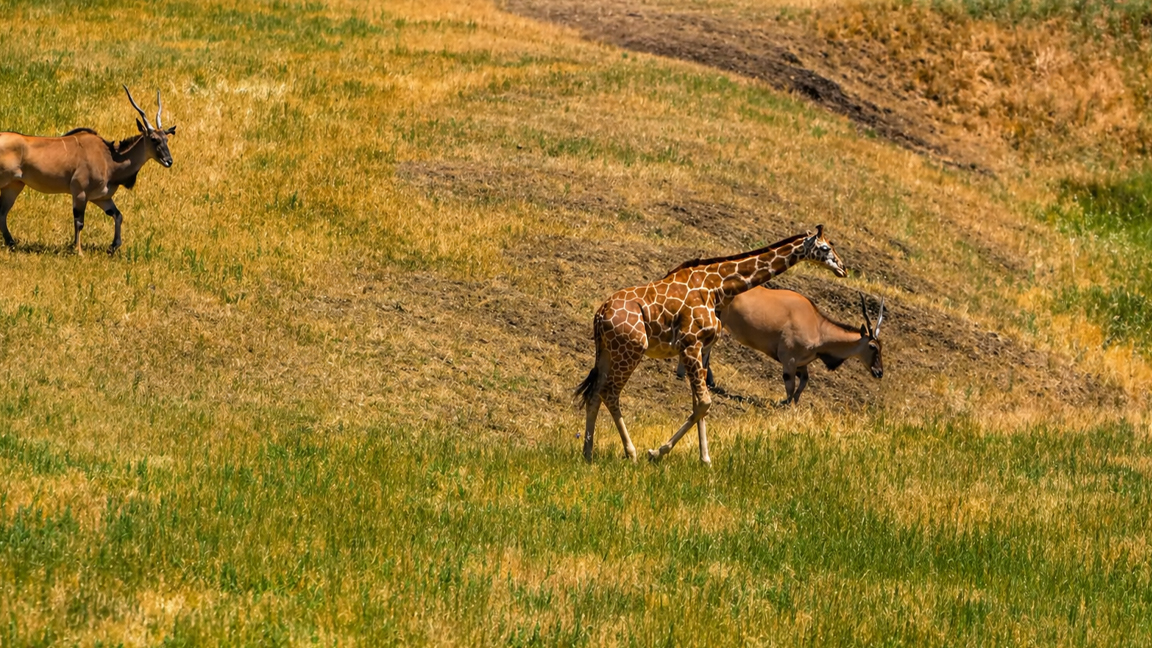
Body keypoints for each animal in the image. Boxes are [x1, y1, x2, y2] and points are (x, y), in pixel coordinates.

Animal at [574, 226, 847, 464]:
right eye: (824, 248)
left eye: (833, 245)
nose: (843, 269)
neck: (718, 286)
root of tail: (599, 314)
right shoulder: (689, 344)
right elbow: (705, 402)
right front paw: (657, 452)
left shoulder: (703, 347)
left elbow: (699, 404)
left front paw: (705, 459)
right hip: (632, 350)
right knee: (610, 392)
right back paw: (631, 453)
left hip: (607, 351)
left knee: (594, 392)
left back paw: (588, 453)